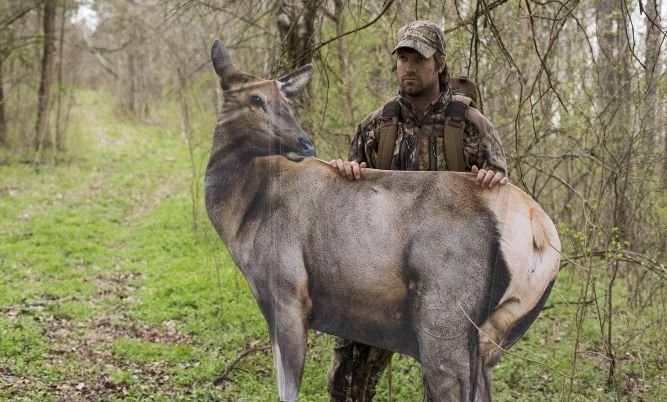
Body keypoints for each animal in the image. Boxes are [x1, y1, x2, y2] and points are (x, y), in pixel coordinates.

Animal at [204, 39, 561, 401]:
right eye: (255, 98)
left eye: (282, 100)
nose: (305, 143)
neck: (245, 215)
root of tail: (541, 232)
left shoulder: (288, 291)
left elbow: (287, 388)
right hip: (495, 332)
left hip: (445, 317)